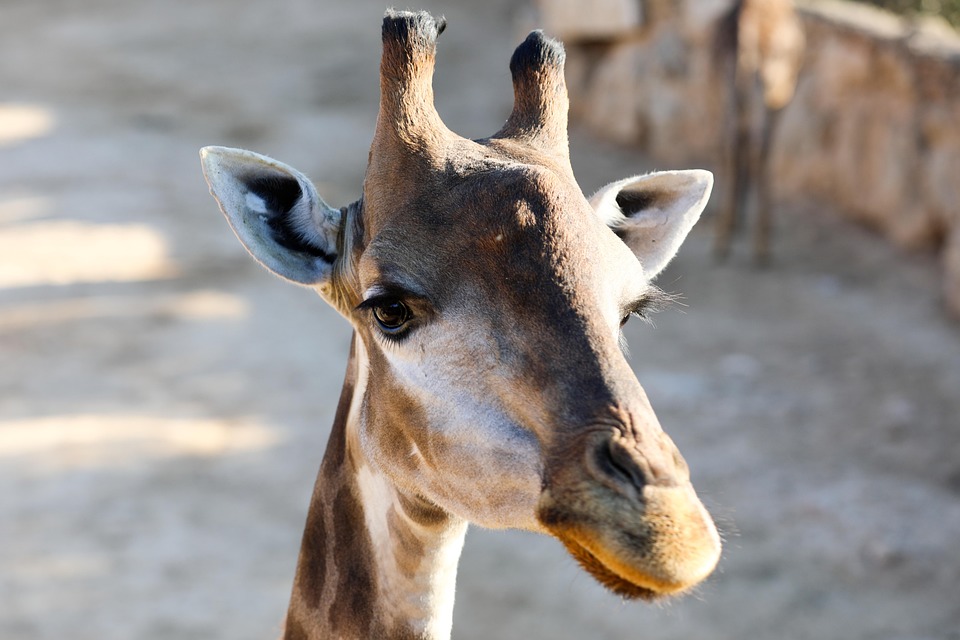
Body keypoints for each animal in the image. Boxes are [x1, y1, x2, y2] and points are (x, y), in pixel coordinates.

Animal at [712, 0, 805, 264]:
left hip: (735, 90)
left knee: (734, 142)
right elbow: (765, 150)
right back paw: (758, 246)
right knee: (753, 146)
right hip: (771, 88)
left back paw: (725, 240)